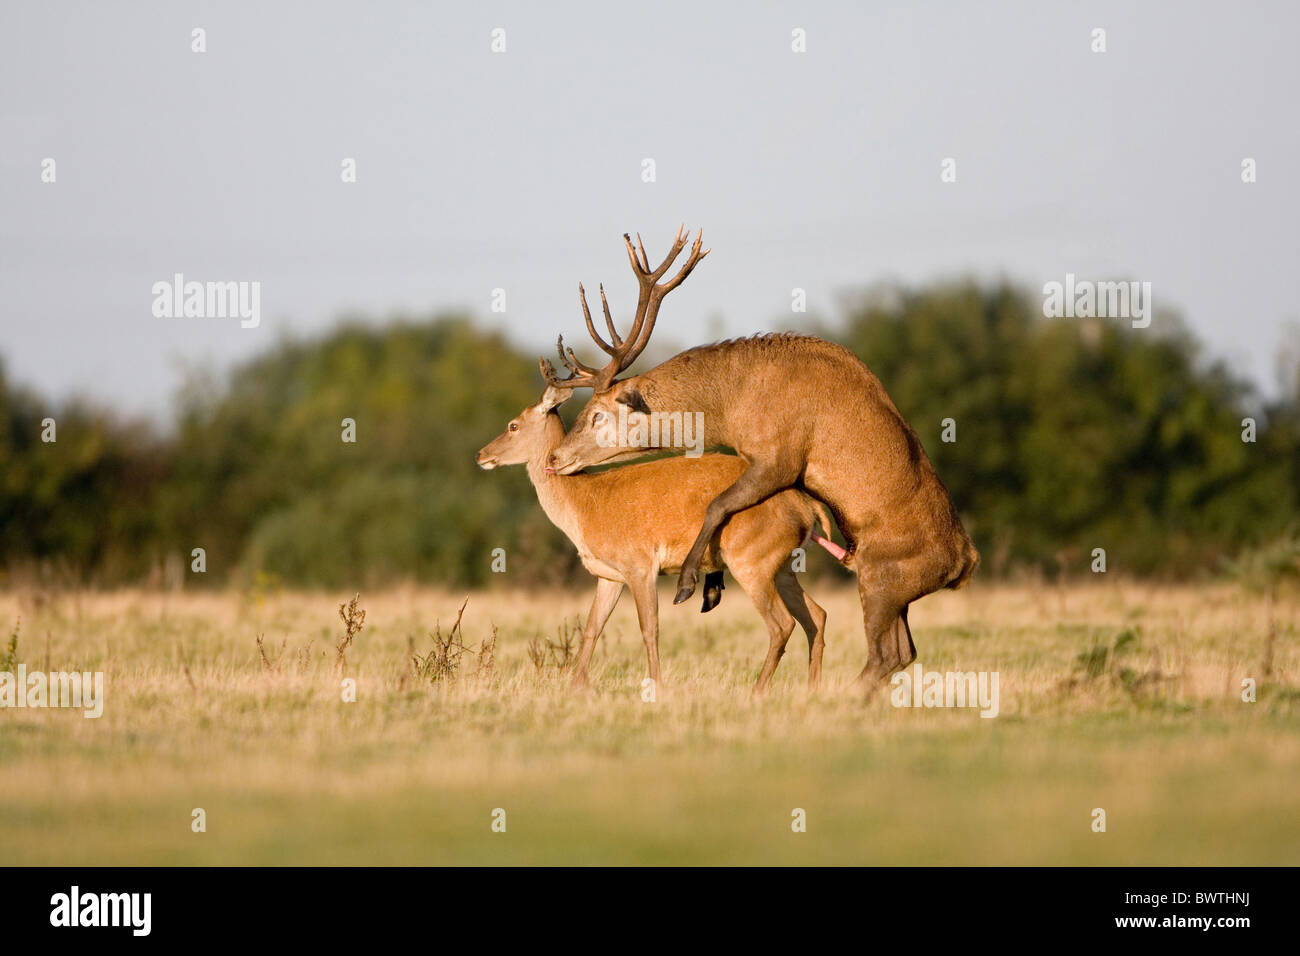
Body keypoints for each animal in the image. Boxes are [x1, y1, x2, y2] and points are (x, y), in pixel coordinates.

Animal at [476, 384, 833, 692]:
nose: (481, 455)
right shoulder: (610, 575)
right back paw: (812, 690)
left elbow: (650, 629)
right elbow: (592, 628)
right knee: (816, 615)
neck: (583, 504)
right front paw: (575, 687)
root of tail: (805, 506)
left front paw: (657, 686)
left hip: (751, 562)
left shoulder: (640, 565)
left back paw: (757, 692)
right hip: (781, 566)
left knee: (782, 624)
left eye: (513, 425)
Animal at [540, 227, 980, 690]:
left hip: (882, 578)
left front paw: (691, 585)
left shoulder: (779, 456)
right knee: (903, 652)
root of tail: (964, 566)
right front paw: (710, 584)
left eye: (597, 413)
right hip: (895, 594)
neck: (732, 405)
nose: (556, 456)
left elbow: (718, 504)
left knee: (883, 653)